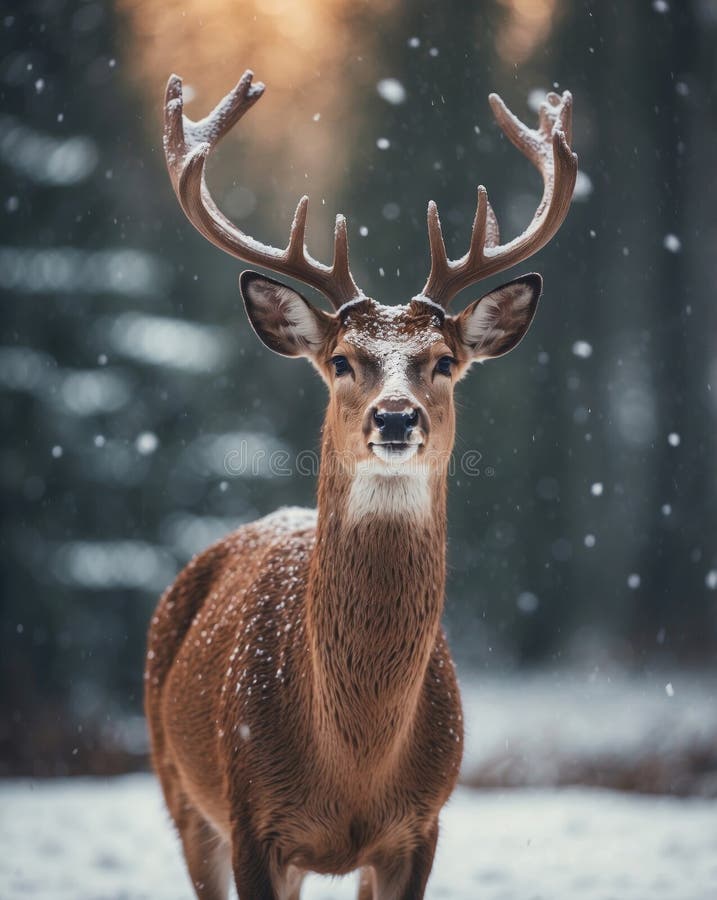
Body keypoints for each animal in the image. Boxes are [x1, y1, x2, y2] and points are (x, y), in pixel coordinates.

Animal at [145, 68, 577, 900]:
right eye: (342, 359)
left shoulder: (420, 825)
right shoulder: (252, 818)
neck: (352, 763)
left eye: (443, 360)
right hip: (177, 786)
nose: (397, 417)